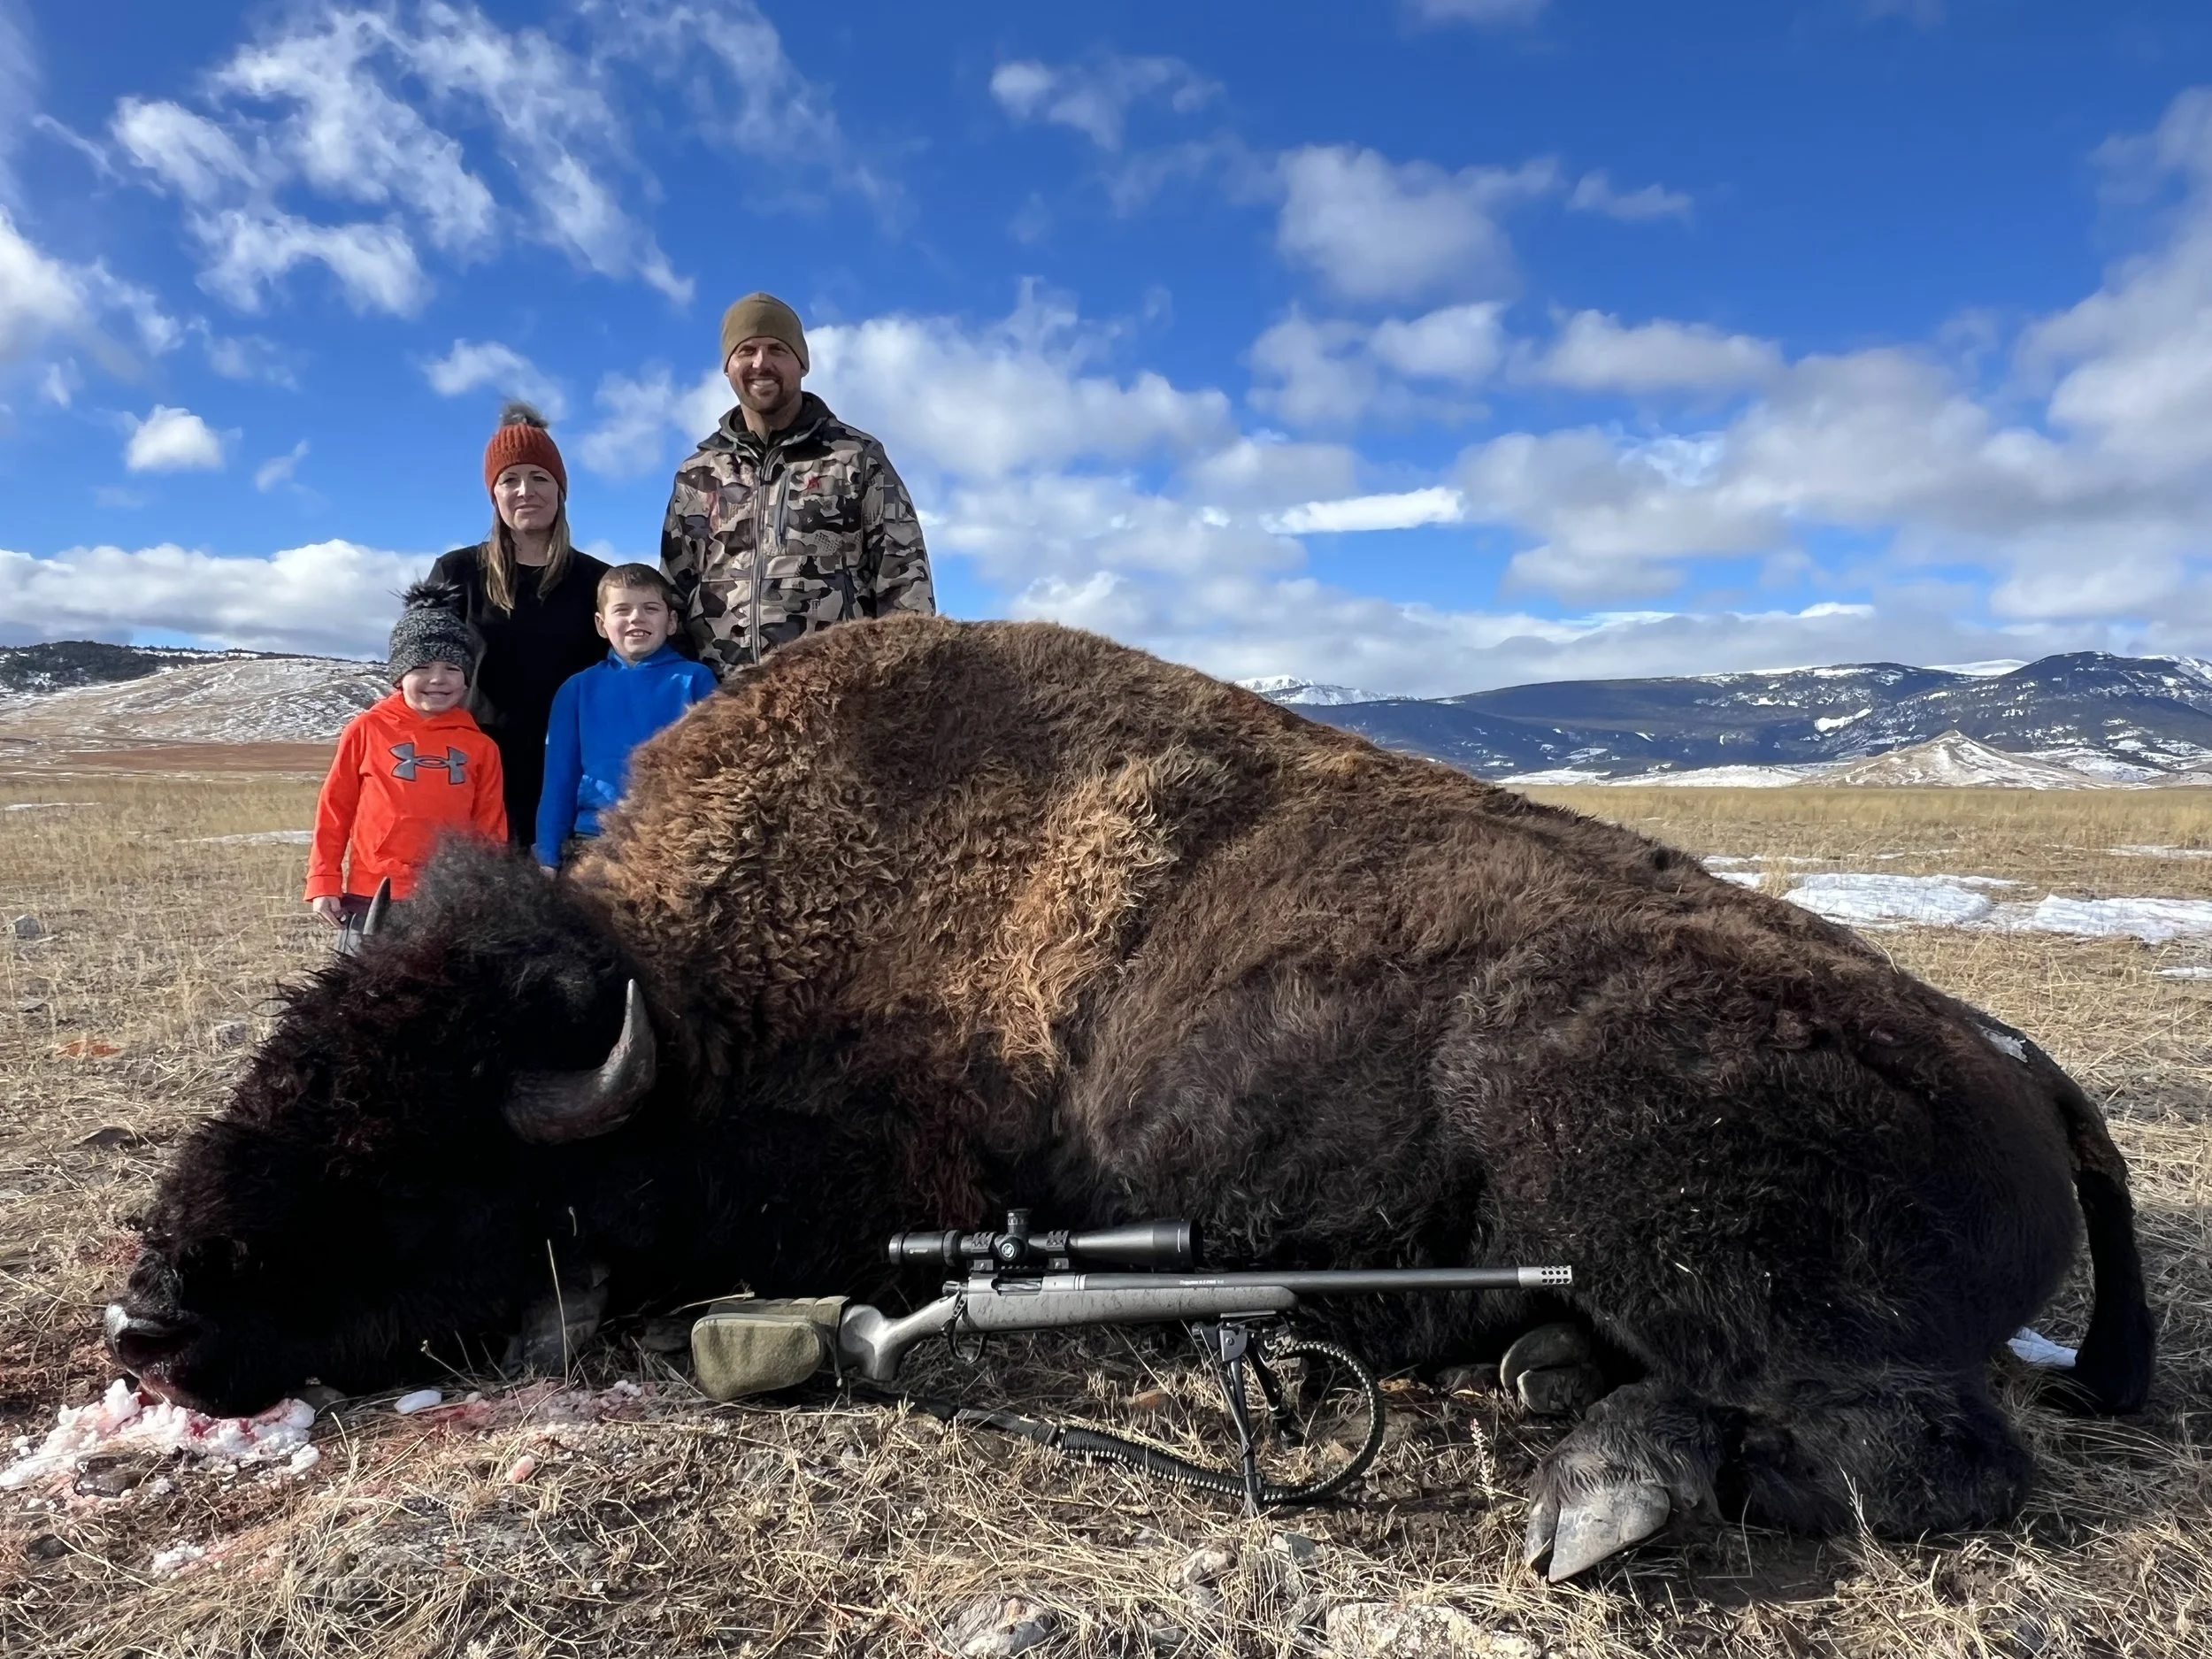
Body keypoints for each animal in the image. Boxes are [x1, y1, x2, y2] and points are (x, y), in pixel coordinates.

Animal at [108, 617, 2152, 1578]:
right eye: (281, 1066)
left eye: (403, 1152)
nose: (146, 1316)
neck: (700, 1003)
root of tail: (2006, 1060)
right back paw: (1541, 1378)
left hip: (1636, 1160)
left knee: (1918, 1447)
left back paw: (1604, 1485)